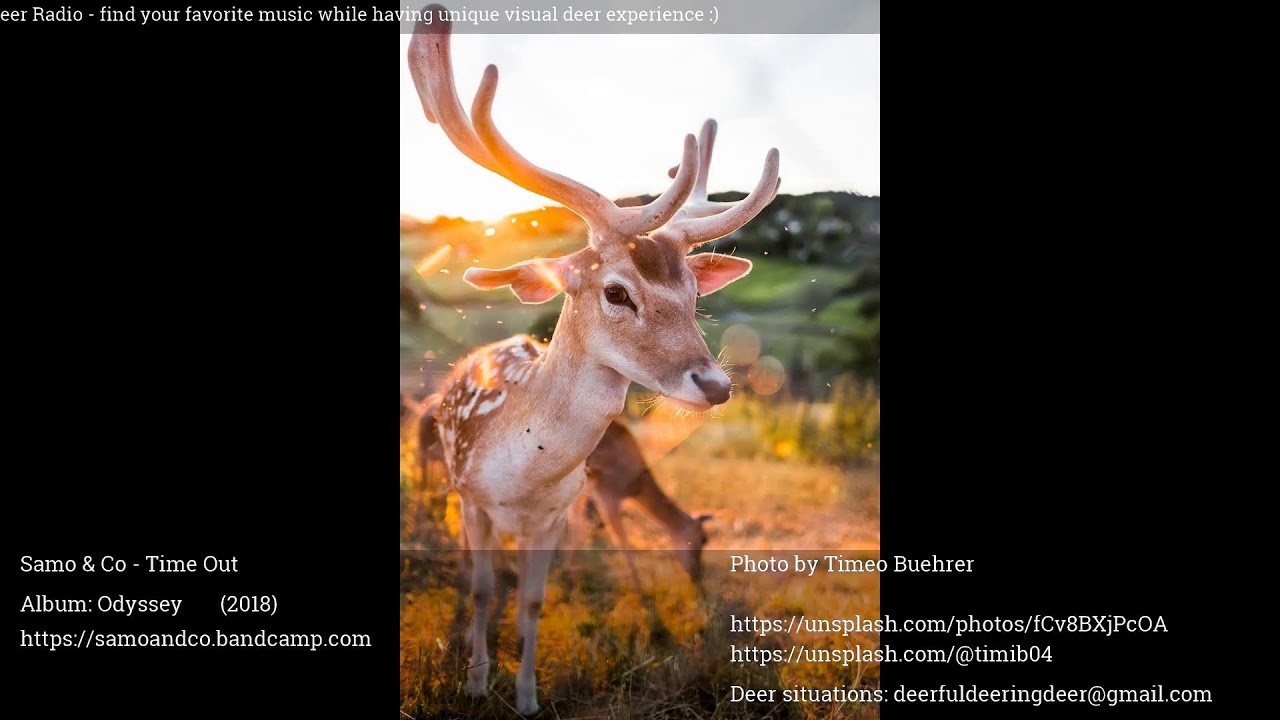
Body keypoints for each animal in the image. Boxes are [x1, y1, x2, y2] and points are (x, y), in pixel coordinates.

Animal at [407, 6, 779, 714]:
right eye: (616, 292)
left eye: (695, 295)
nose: (716, 383)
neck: (522, 477)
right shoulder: (476, 499)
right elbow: (483, 589)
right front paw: (475, 682)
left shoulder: (557, 515)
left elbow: (532, 602)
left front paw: (526, 696)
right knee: (464, 563)